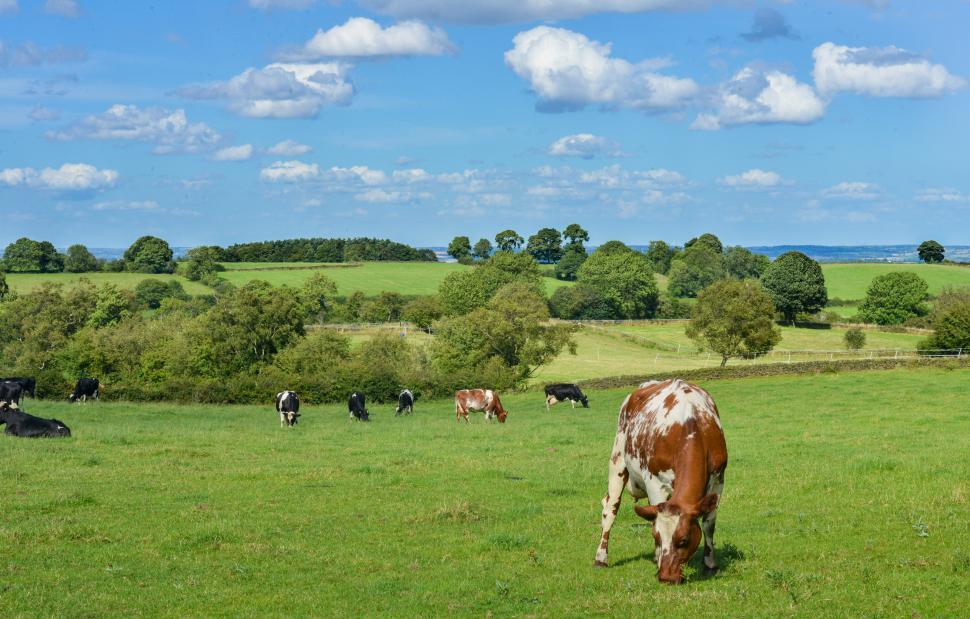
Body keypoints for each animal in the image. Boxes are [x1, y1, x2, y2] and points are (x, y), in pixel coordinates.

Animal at [593, 378, 727, 585]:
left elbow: (708, 524)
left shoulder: (718, 480)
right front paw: (658, 558)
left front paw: (710, 565)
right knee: (610, 509)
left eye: (684, 540)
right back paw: (601, 558)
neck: (691, 423)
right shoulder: (654, 483)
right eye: (656, 537)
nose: (666, 577)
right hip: (617, 460)